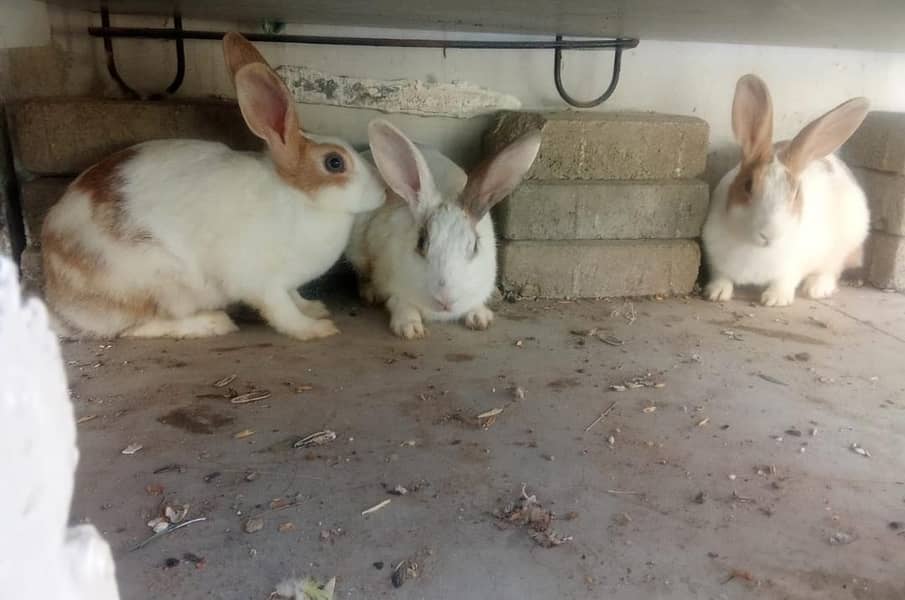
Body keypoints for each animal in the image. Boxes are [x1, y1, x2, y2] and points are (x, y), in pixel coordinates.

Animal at [40, 33, 385, 340]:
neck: (301, 199)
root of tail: (59, 303)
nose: (382, 191)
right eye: (335, 163)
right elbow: (281, 310)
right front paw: (314, 329)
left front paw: (313, 307)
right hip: (159, 284)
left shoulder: (287, 282)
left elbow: (294, 297)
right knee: (135, 328)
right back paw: (212, 323)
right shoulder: (261, 281)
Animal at [345, 119, 541, 339]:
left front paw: (481, 319)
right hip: (357, 252)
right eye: (421, 243)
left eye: (474, 246)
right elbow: (401, 304)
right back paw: (370, 294)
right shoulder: (391, 285)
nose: (446, 299)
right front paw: (410, 328)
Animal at [702, 74, 870, 307]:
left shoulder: (793, 266)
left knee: (832, 269)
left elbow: (785, 280)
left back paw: (816, 288)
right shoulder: (715, 259)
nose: (769, 234)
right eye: (748, 185)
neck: (754, 248)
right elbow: (721, 276)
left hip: (845, 242)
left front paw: (775, 299)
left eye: (796, 194)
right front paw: (716, 293)